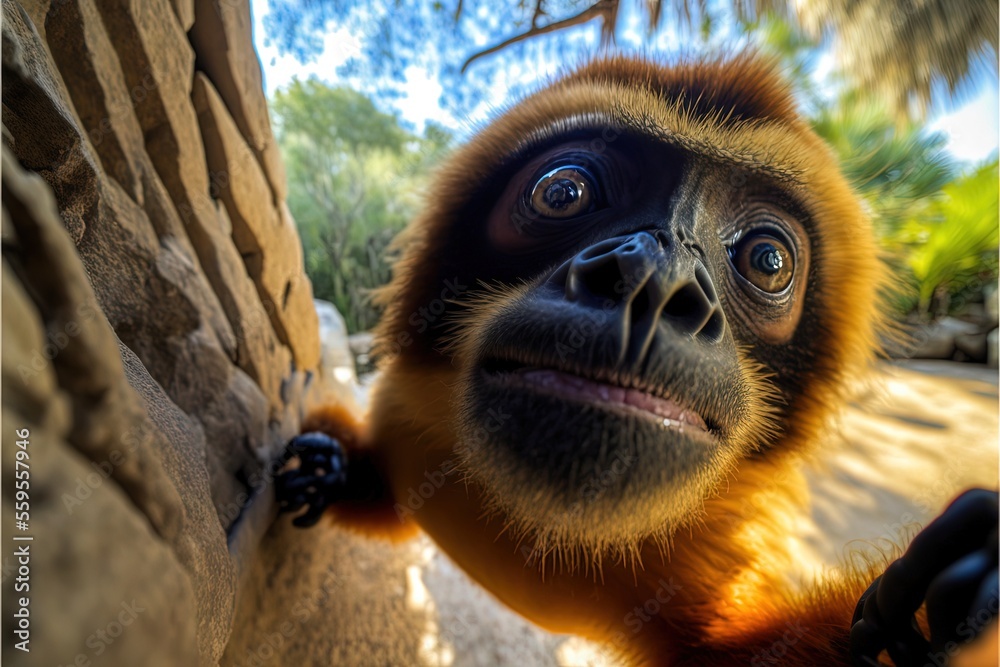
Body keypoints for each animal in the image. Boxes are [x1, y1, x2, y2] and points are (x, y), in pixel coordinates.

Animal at [275, 54, 999, 666]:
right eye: (562, 193)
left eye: (767, 259)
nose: (655, 282)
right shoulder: (405, 429)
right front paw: (330, 468)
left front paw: (951, 601)